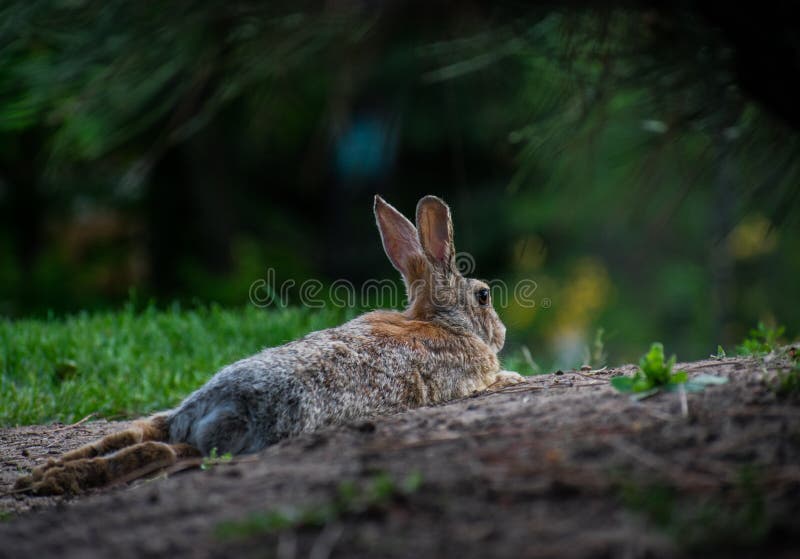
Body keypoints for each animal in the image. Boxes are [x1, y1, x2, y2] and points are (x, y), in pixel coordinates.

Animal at [15, 195, 525, 495]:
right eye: (483, 295)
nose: (501, 333)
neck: (443, 322)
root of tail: (206, 410)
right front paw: (513, 374)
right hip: (232, 439)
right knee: (163, 454)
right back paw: (52, 482)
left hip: (170, 419)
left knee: (132, 432)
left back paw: (40, 476)